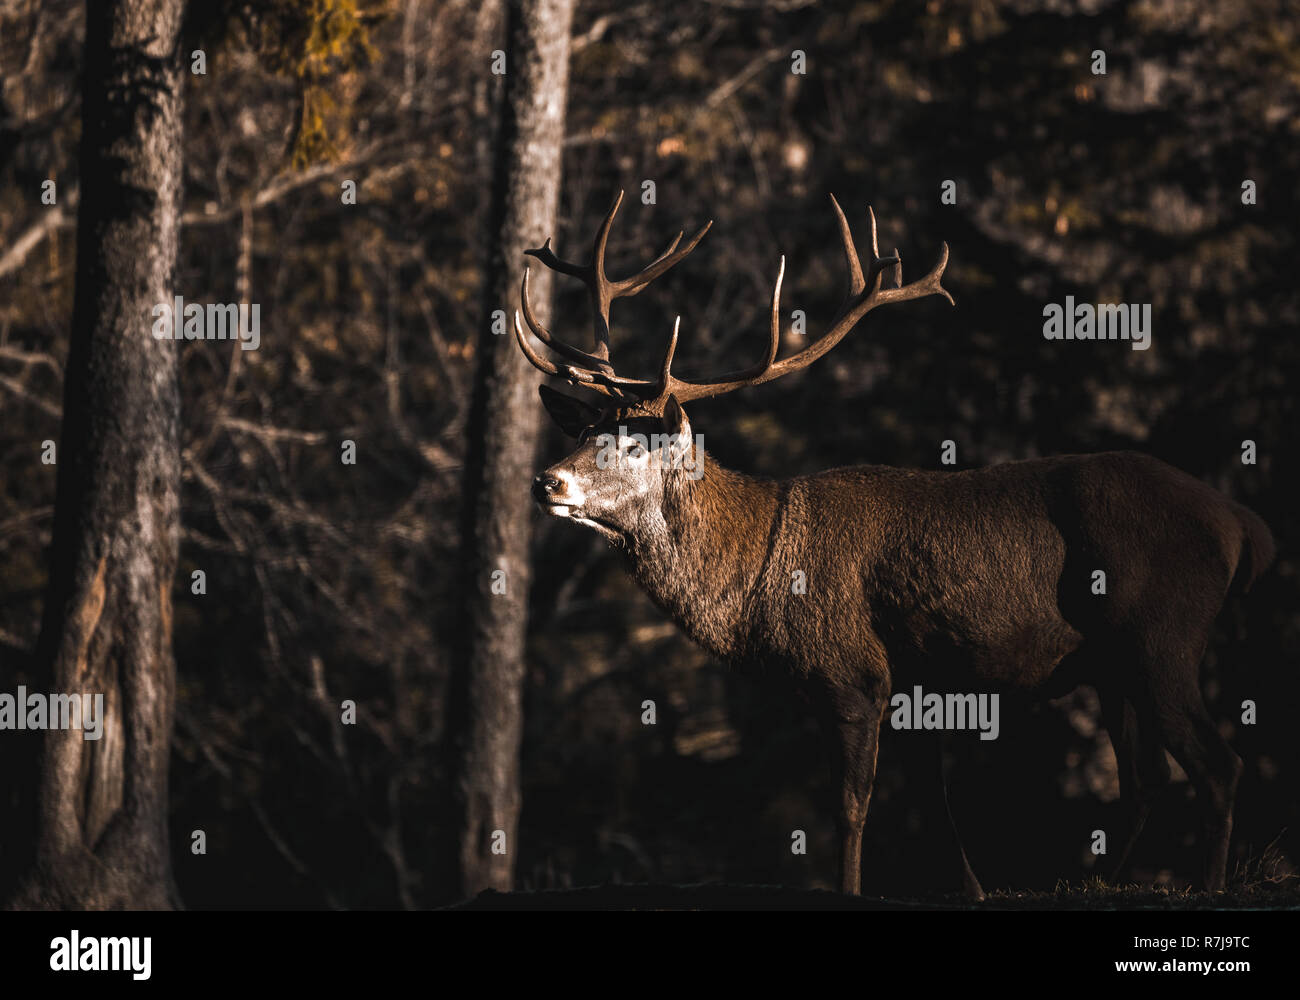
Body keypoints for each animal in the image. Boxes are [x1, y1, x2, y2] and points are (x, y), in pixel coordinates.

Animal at [514, 190, 1275, 898]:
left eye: (631, 442)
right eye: (585, 430)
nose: (546, 479)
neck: (758, 570)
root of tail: (1244, 525)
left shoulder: (853, 670)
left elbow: (851, 809)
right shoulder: (913, 681)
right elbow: (936, 808)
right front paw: (972, 890)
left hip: (1162, 635)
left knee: (1218, 766)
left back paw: (1209, 884)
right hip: (1114, 666)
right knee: (1147, 780)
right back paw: (1108, 882)